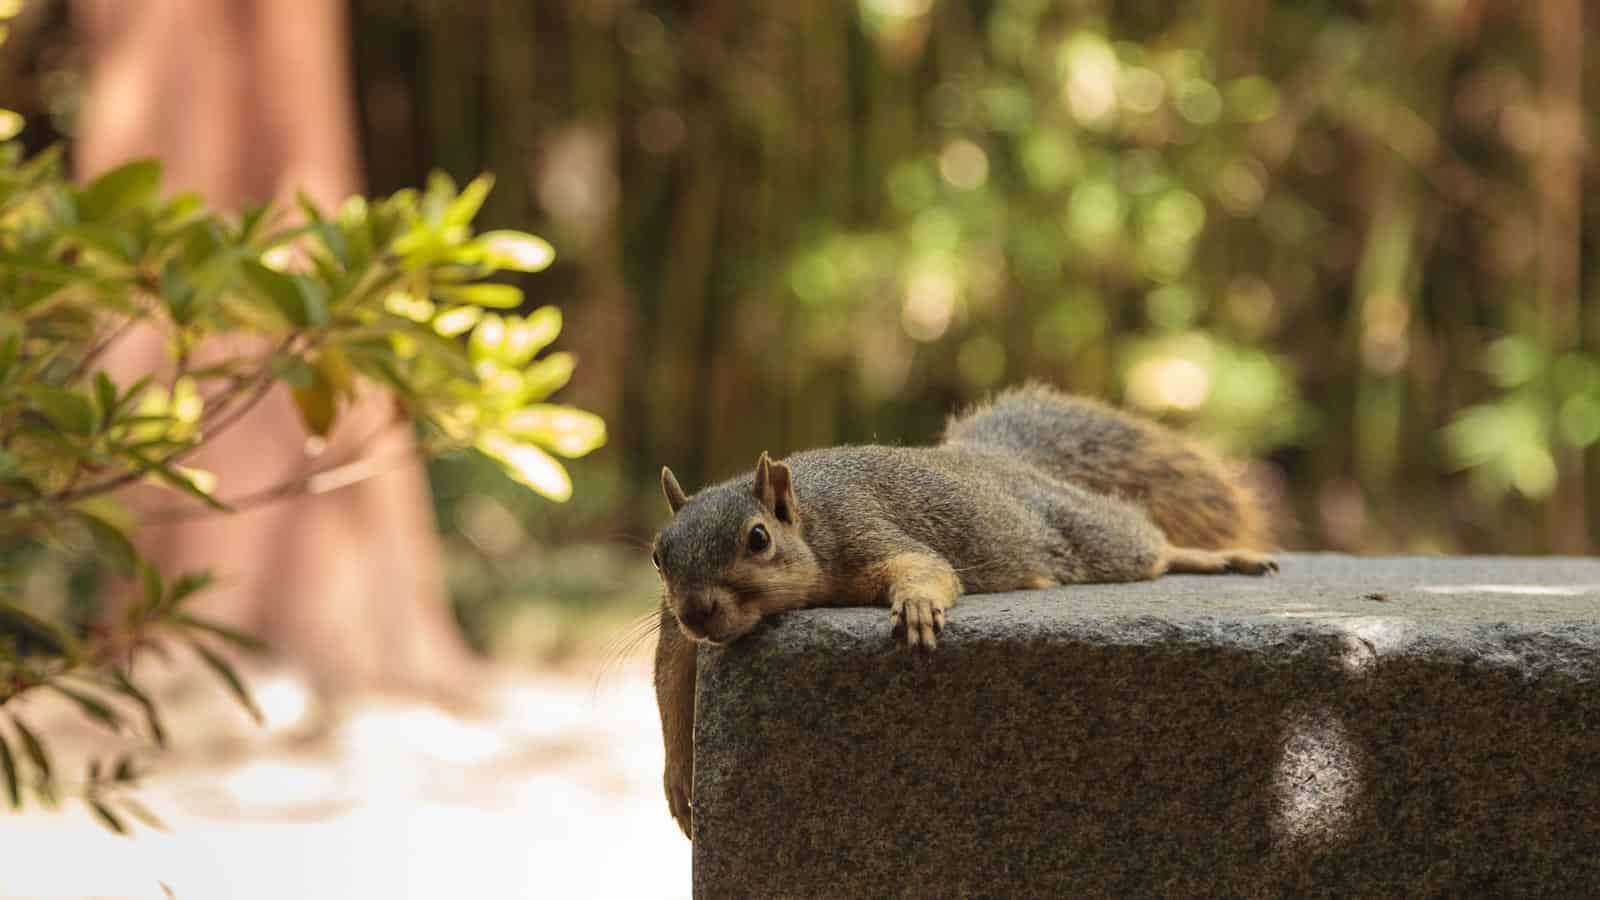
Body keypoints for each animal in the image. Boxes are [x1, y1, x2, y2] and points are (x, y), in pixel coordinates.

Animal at [649, 383, 1275, 838]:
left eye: (758, 539)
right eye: (659, 554)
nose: (697, 610)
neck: (810, 517)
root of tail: (993, 462)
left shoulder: (865, 530)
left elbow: (926, 567)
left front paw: (918, 604)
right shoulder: (674, 631)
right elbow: (669, 684)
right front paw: (679, 779)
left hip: (1092, 536)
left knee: (1145, 545)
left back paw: (1214, 557)